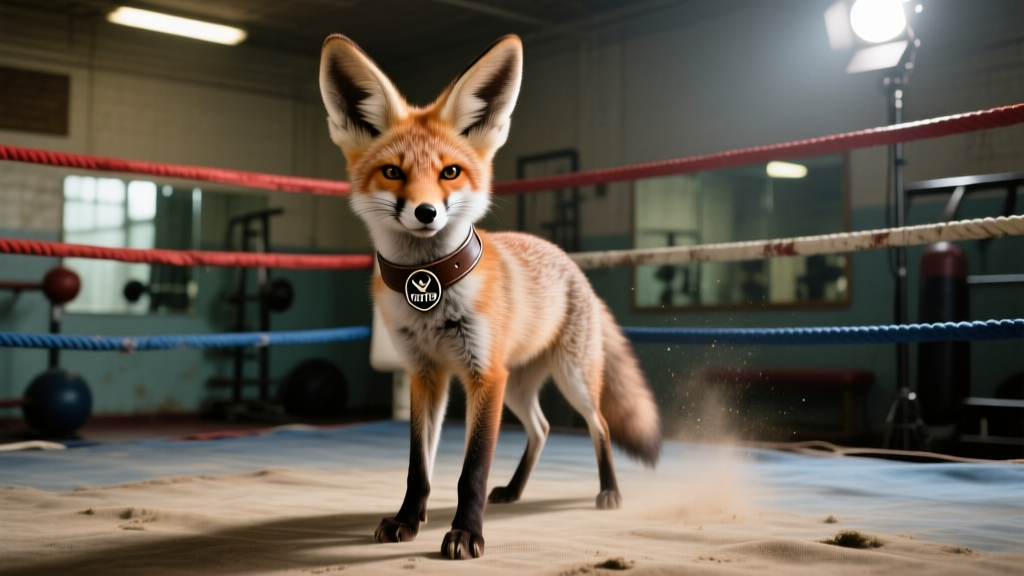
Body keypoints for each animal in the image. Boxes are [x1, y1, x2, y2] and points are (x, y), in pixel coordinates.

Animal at [318, 33, 661, 560]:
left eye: (451, 172)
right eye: (393, 172)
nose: (425, 212)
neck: (430, 285)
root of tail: (569, 261)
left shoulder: (483, 375)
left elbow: (472, 470)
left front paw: (465, 533)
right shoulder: (425, 374)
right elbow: (419, 468)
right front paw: (407, 521)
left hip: (567, 380)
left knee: (599, 425)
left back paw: (608, 490)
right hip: (517, 386)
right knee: (542, 428)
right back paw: (515, 491)